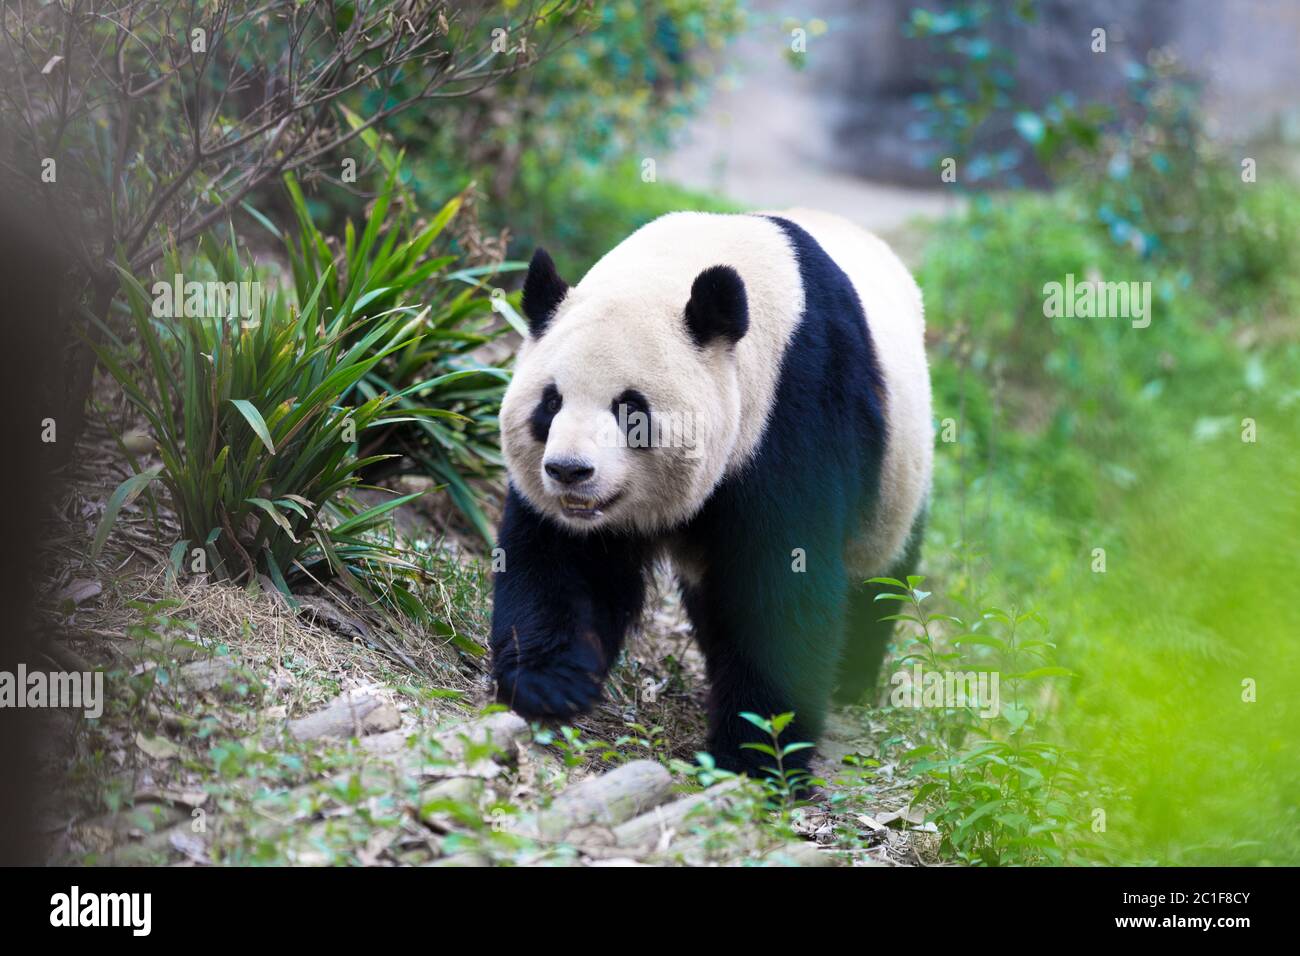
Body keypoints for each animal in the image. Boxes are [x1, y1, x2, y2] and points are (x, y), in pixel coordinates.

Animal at [490, 209, 932, 777]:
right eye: (550, 403)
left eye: (630, 409)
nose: (570, 471)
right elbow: (561, 558)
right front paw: (549, 684)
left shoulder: (795, 406)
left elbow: (784, 585)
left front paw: (757, 752)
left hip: (899, 478)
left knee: (879, 576)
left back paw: (849, 679)